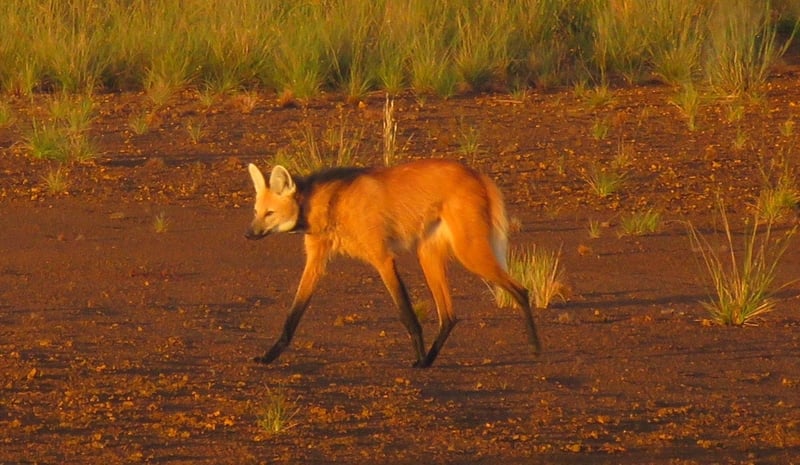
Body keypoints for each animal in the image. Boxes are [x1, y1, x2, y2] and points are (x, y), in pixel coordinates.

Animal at [245, 158, 540, 367]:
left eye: (270, 213)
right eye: (256, 212)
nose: (248, 234)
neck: (332, 203)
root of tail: (478, 174)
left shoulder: (382, 258)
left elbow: (406, 313)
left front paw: (417, 354)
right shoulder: (316, 261)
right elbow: (293, 315)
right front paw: (269, 356)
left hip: (469, 252)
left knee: (520, 290)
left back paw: (536, 347)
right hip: (427, 254)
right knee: (449, 315)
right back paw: (429, 361)